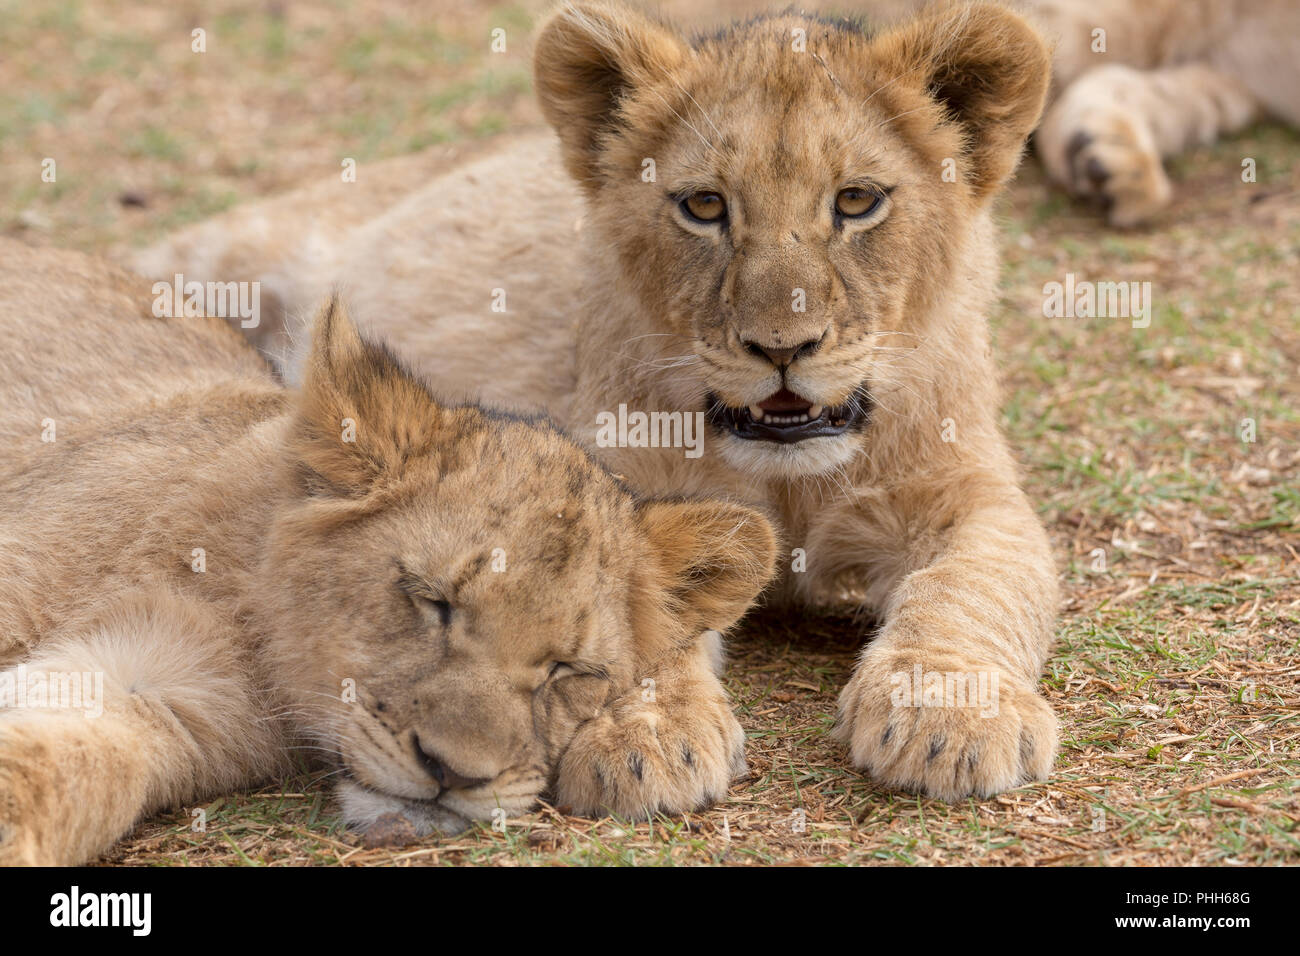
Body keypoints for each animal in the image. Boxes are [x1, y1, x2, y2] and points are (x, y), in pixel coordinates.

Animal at [0, 238, 777, 865]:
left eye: (567, 671)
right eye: (434, 602)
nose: (454, 774)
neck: (239, 597)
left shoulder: (163, 692)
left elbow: (60, 769)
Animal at [135, 0, 1063, 803]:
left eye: (858, 200)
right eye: (704, 205)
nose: (781, 348)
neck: (786, 475)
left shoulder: (970, 490)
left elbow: (976, 585)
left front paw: (950, 717)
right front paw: (641, 736)